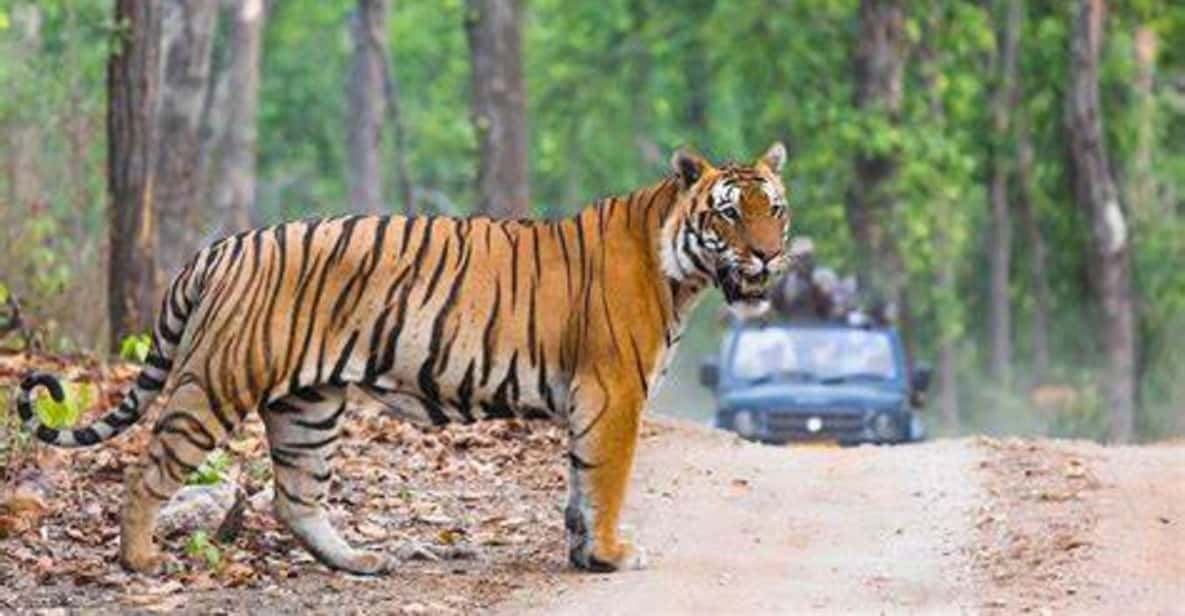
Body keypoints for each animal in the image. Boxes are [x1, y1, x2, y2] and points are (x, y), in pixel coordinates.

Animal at [17, 143, 790, 575]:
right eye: (728, 213)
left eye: (774, 209)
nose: (768, 256)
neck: (679, 267)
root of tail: (222, 245)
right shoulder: (614, 392)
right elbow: (605, 481)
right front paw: (608, 555)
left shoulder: (593, 399)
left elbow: (579, 486)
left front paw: (582, 556)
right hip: (218, 381)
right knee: (149, 468)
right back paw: (139, 559)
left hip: (308, 406)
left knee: (297, 498)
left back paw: (362, 562)